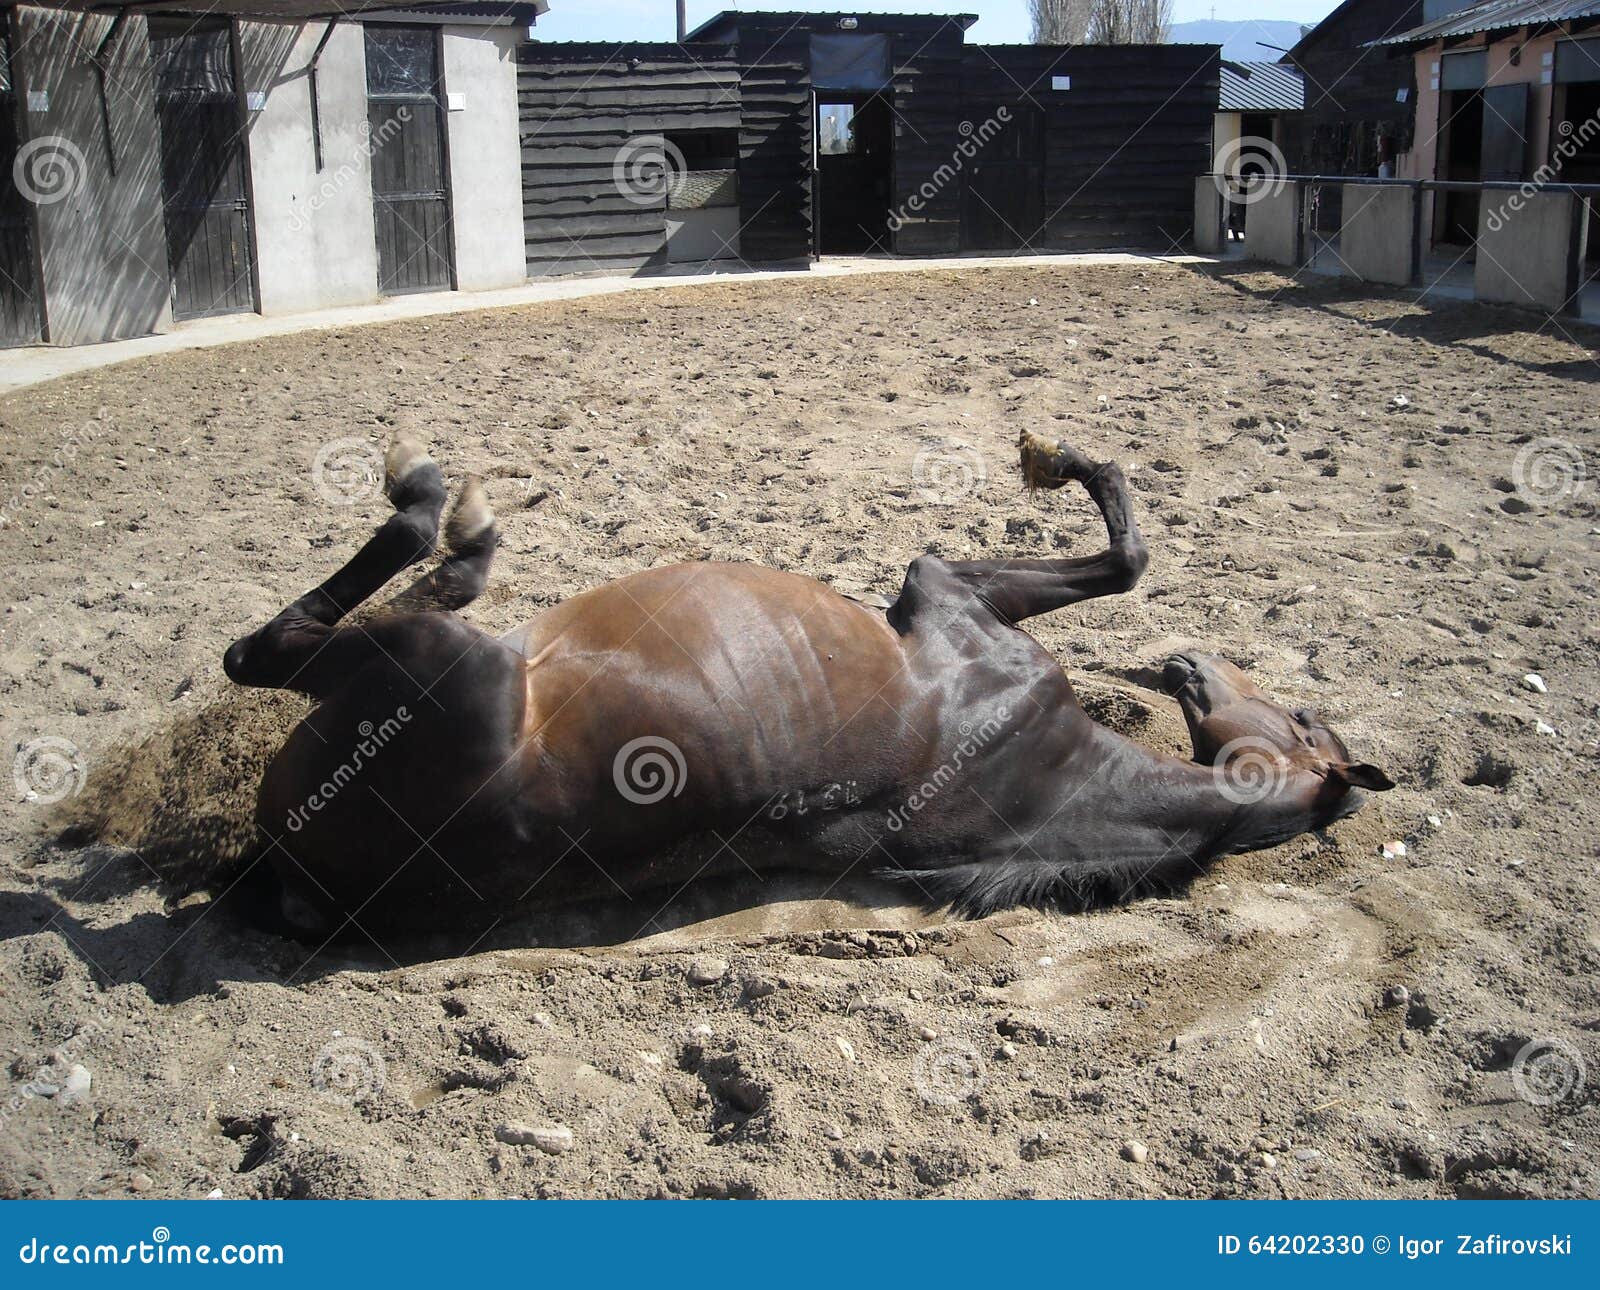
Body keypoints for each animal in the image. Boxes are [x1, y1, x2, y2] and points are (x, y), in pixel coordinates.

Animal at [223, 431, 1392, 939]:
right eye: (1303, 711)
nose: (1192, 666)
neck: (1045, 772)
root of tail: (296, 870)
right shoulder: (955, 597)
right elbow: (1128, 561)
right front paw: (1067, 461)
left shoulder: (937, 591)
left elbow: (1119, 557)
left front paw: (1064, 460)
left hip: (437, 664)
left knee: (268, 646)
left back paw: (448, 523)